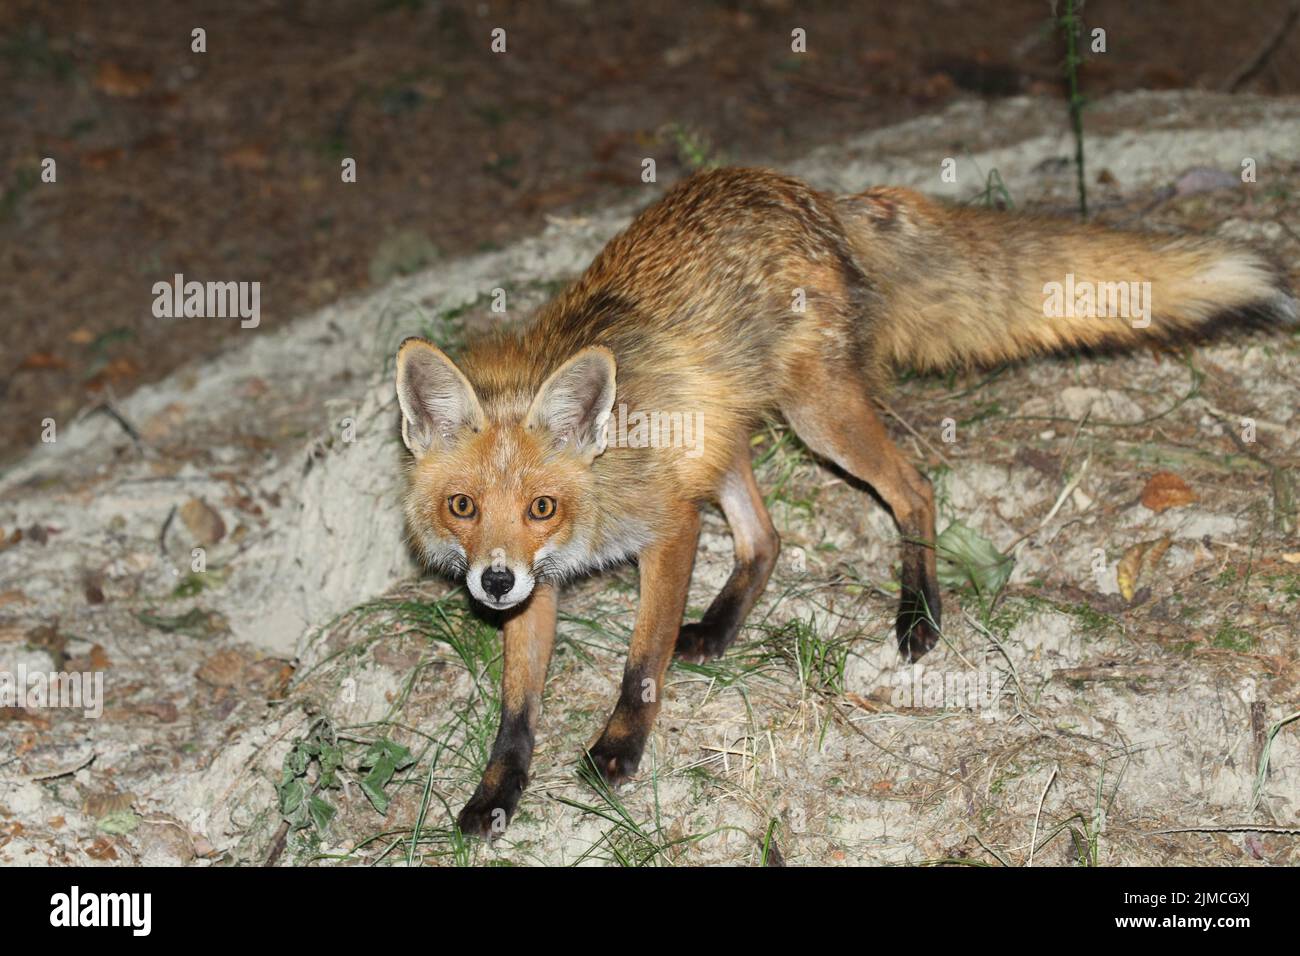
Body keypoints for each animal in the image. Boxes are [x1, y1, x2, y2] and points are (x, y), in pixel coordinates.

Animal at [394, 166, 1294, 838]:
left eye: (542, 506)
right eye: (463, 507)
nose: (493, 584)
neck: (605, 468)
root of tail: (814, 193)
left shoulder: (669, 524)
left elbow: (641, 663)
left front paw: (620, 747)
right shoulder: (543, 584)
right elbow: (516, 709)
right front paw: (495, 794)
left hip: (817, 417)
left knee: (913, 490)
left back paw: (919, 609)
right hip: (730, 425)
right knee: (768, 537)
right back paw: (721, 625)